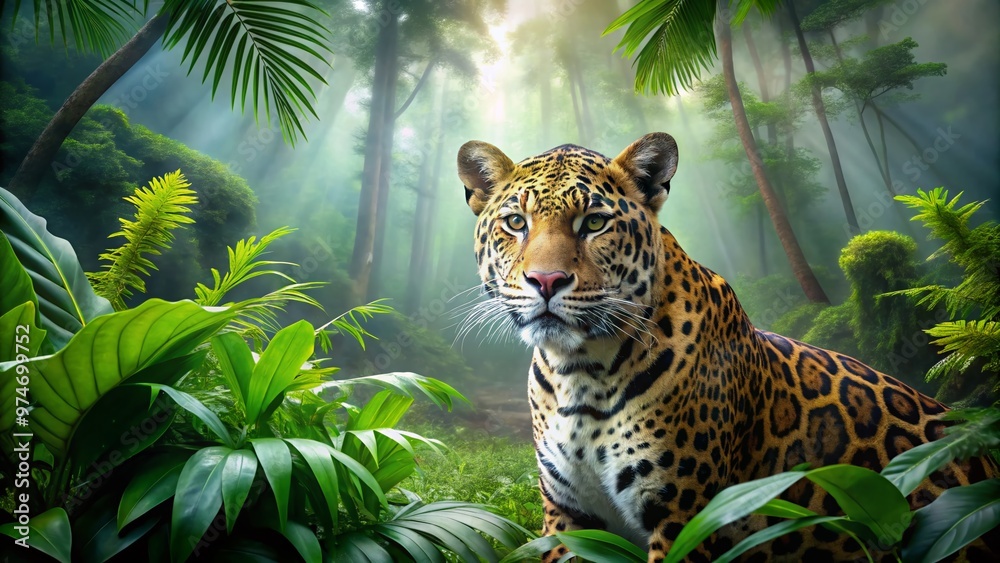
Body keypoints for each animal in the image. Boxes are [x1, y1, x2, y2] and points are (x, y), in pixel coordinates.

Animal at [456, 132, 998, 562]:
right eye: (516, 223)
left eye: (593, 223)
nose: (546, 281)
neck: (581, 370)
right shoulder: (568, 519)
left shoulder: (686, 516)